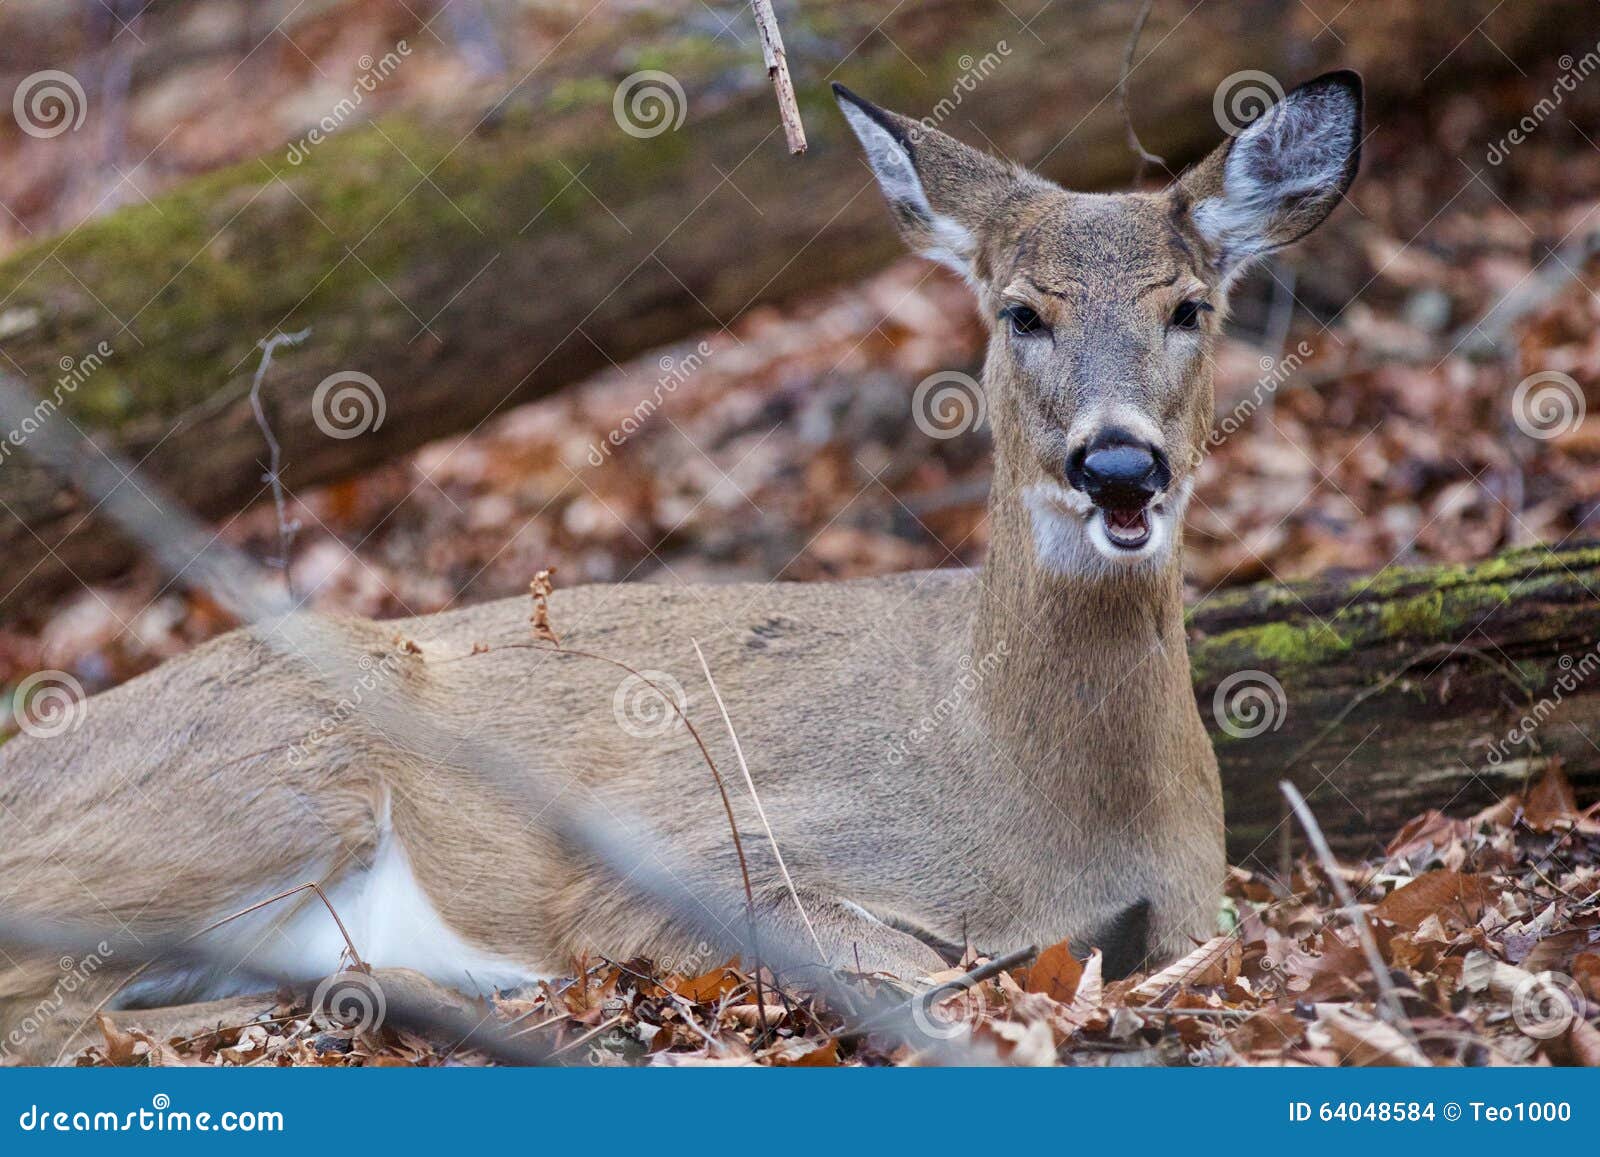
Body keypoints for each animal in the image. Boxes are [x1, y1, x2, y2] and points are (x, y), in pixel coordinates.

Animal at [0, 71, 1361, 1062]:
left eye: (1189, 306)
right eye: (1021, 310)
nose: (1118, 465)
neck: (1041, 797)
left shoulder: (1192, 907)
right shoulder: (694, 851)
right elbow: (910, 971)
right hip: (270, 771)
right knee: (59, 1010)